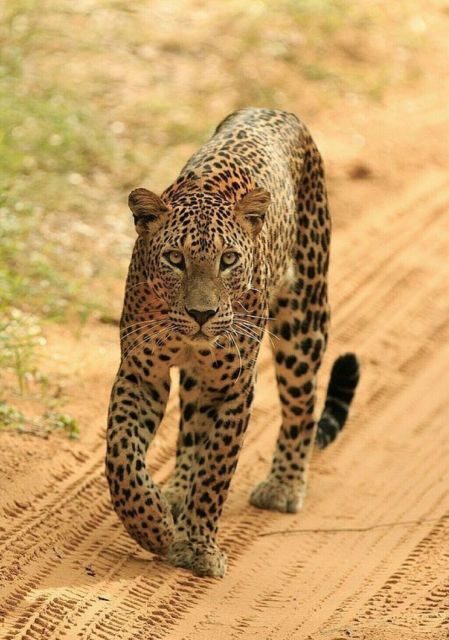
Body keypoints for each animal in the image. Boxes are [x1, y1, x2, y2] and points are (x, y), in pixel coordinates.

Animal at [106, 107, 360, 578]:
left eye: (229, 260)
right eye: (174, 259)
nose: (201, 315)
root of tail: (275, 110)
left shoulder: (235, 385)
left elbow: (216, 473)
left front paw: (199, 549)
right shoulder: (141, 371)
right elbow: (122, 455)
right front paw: (153, 526)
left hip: (305, 319)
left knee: (301, 410)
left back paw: (282, 486)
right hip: (199, 378)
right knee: (191, 428)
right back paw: (175, 491)